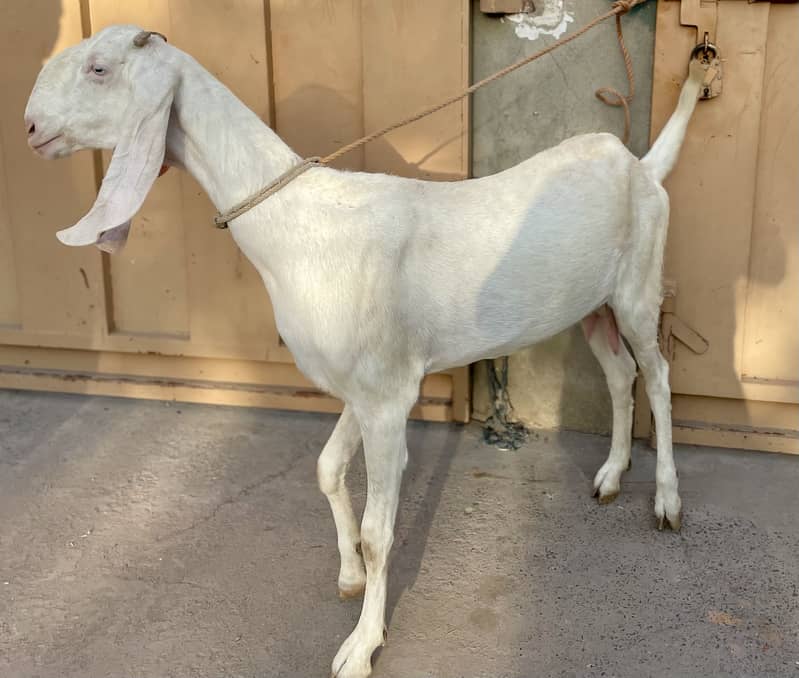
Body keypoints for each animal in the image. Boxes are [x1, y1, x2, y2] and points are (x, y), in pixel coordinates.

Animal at [25, 25, 705, 678]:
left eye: (99, 67)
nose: (30, 129)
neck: (298, 224)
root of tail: (642, 165)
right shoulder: (366, 384)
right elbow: (327, 468)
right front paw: (349, 575)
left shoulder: (386, 395)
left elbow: (382, 533)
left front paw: (360, 647)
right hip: (593, 307)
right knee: (619, 375)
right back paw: (611, 476)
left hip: (638, 291)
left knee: (659, 377)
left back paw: (666, 501)